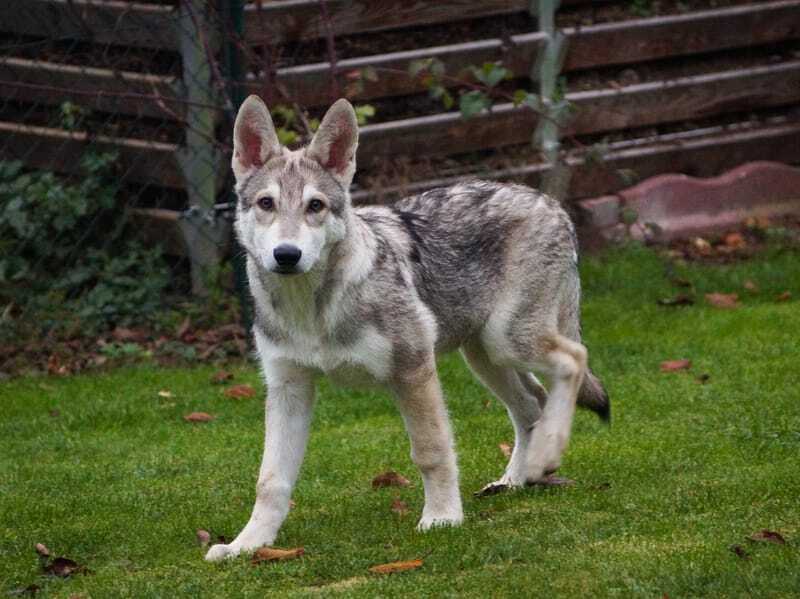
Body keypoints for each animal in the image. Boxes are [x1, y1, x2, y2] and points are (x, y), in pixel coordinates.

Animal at [205, 96, 608, 560]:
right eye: (266, 203)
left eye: (315, 206)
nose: (286, 255)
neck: (313, 310)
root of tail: (549, 201)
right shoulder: (289, 388)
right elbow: (270, 480)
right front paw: (247, 545)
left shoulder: (412, 370)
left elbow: (431, 451)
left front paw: (442, 518)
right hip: (486, 355)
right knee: (532, 404)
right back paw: (518, 478)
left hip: (509, 341)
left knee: (574, 360)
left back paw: (545, 457)